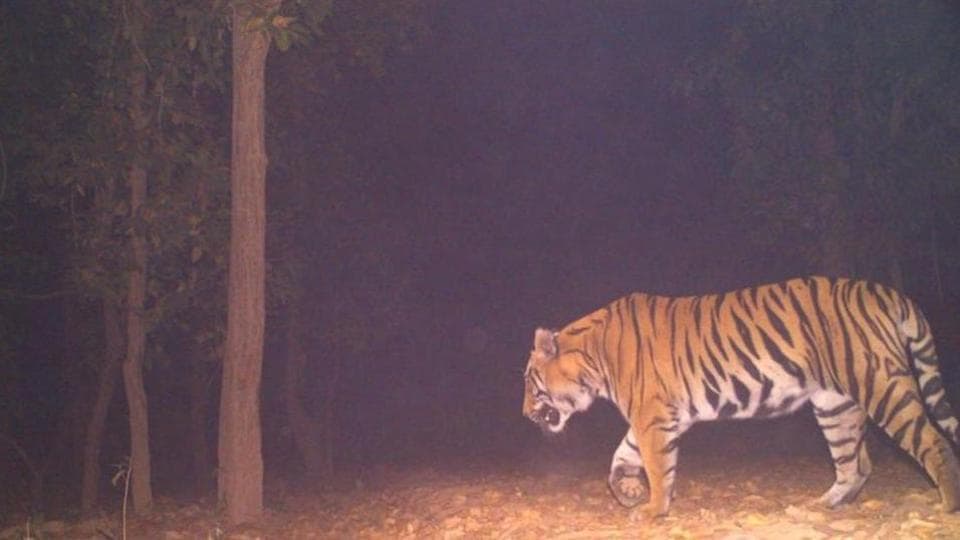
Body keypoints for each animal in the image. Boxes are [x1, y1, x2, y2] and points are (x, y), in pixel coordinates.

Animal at [522, 276, 960, 519]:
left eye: (529, 381)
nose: (525, 414)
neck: (593, 358)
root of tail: (890, 293)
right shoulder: (661, 417)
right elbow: (620, 457)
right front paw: (629, 493)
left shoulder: (653, 417)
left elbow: (657, 467)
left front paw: (652, 510)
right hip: (834, 404)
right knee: (855, 463)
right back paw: (823, 505)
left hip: (882, 385)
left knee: (933, 442)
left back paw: (948, 506)